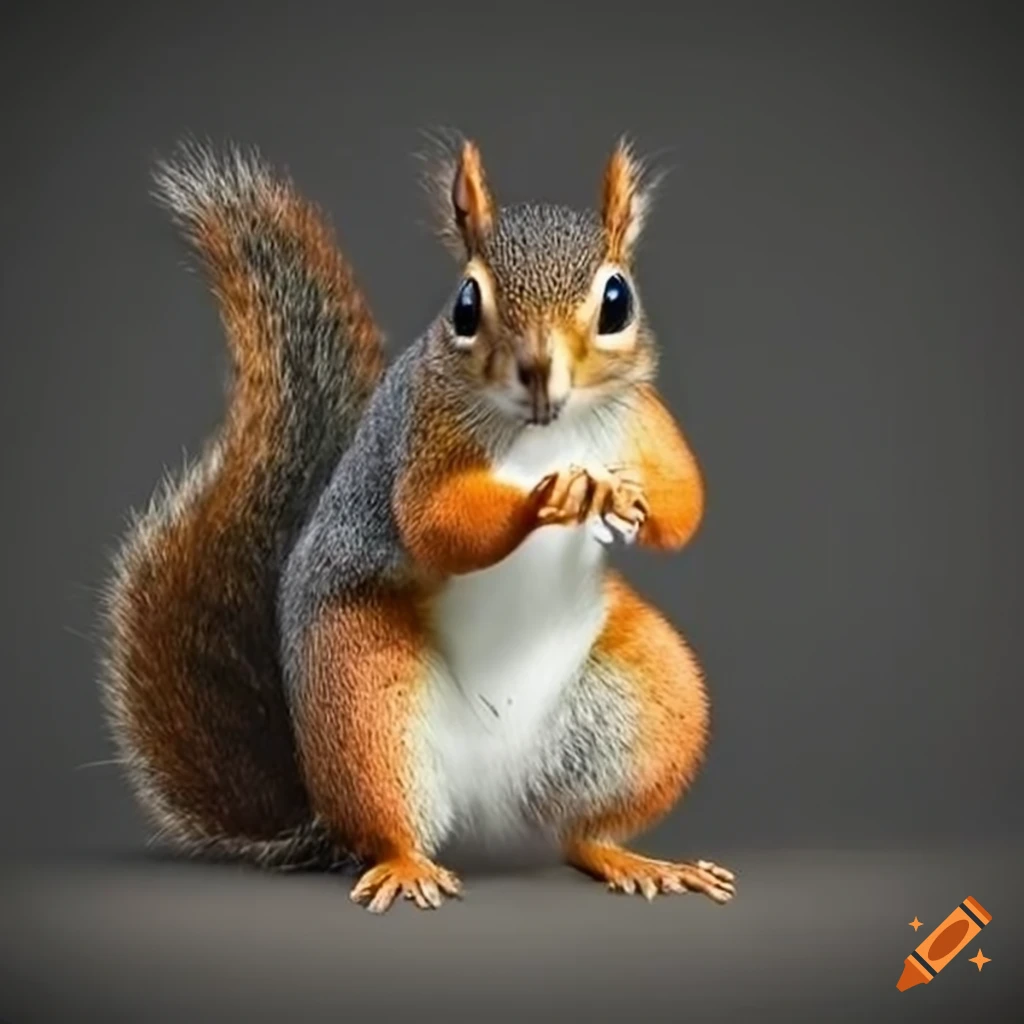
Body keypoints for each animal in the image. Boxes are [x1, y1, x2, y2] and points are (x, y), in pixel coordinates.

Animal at [100, 134, 736, 913]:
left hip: (654, 698)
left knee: (579, 831)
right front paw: (545, 496)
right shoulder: (423, 431)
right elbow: (434, 522)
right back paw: (406, 866)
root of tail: (491, 789)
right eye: (466, 303)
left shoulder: (640, 417)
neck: (548, 431)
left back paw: (631, 858)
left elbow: (687, 500)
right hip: (362, 688)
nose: (539, 370)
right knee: (391, 822)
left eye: (617, 301)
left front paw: (621, 496)